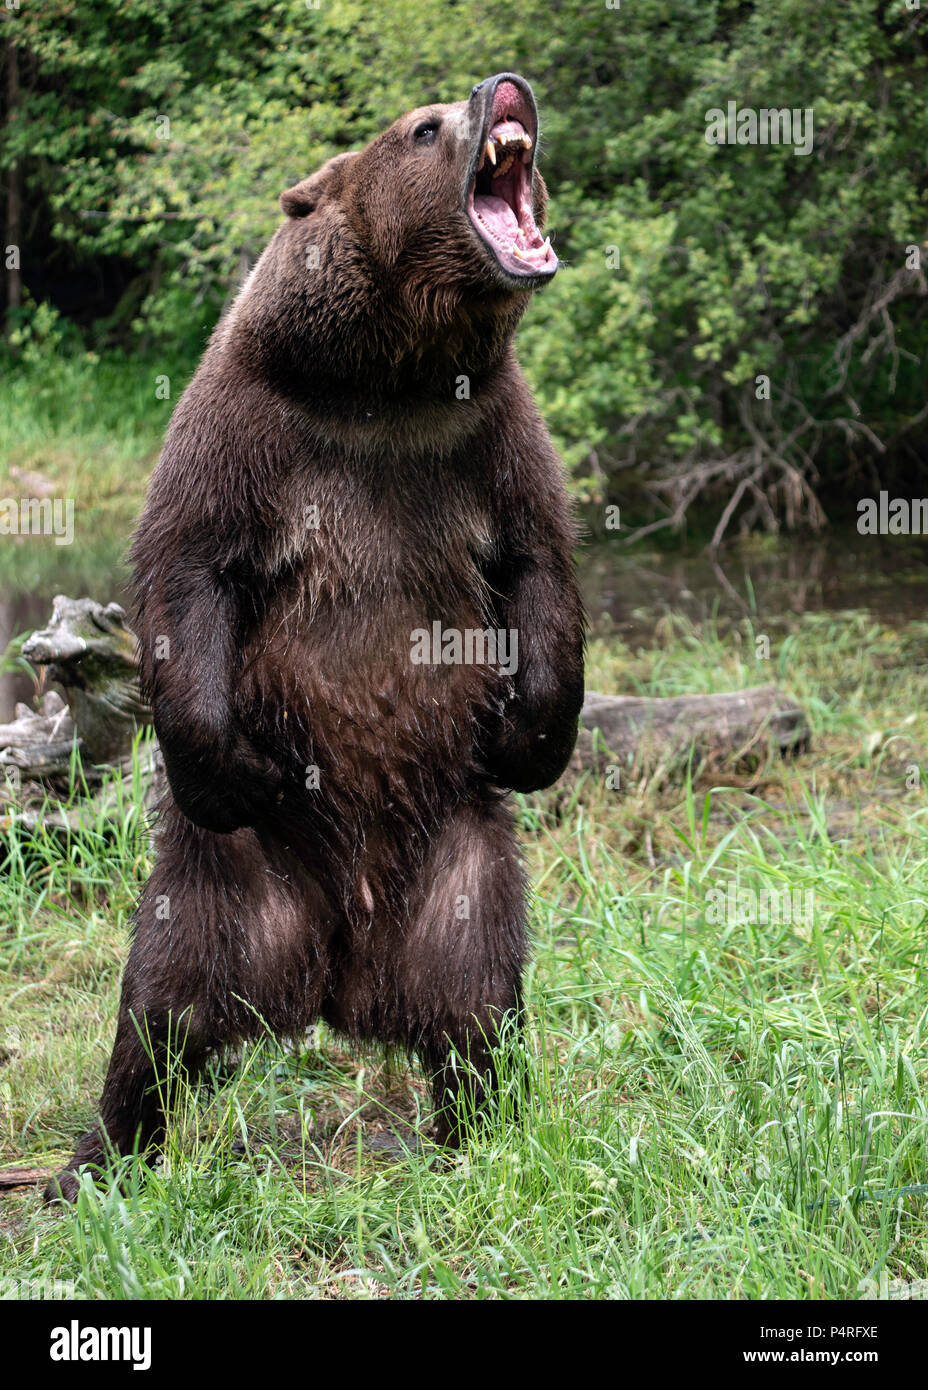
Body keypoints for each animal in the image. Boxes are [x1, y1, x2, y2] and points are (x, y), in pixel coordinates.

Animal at [47, 72, 585, 1203]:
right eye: (425, 127)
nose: (504, 86)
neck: (390, 379)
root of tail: (336, 975)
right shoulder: (251, 423)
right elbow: (189, 566)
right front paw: (235, 761)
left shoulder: (489, 437)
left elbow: (539, 565)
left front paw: (528, 737)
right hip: (228, 885)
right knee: (158, 1013)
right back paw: (98, 1156)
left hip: (458, 867)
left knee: (481, 1002)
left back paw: (481, 1132)